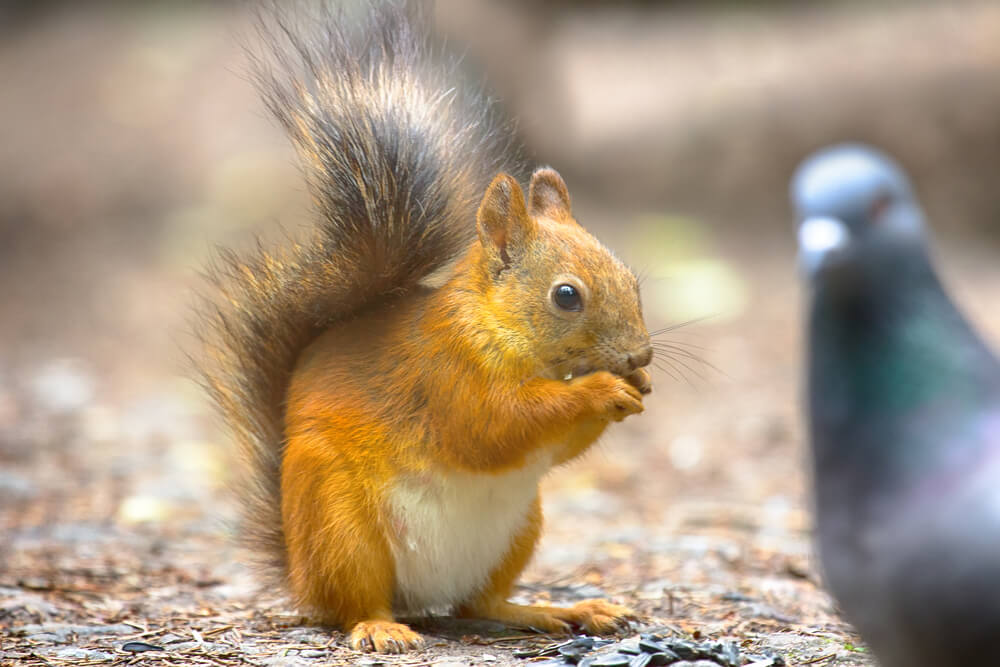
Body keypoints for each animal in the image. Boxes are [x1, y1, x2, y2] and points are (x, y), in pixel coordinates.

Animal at [197, 2, 653, 654]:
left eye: (632, 280)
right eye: (566, 296)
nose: (641, 356)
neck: (501, 332)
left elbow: (554, 447)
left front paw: (634, 391)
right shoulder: (444, 372)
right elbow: (496, 427)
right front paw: (601, 390)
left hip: (518, 527)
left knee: (479, 602)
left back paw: (556, 609)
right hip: (340, 524)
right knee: (353, 603)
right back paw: (380, 627)